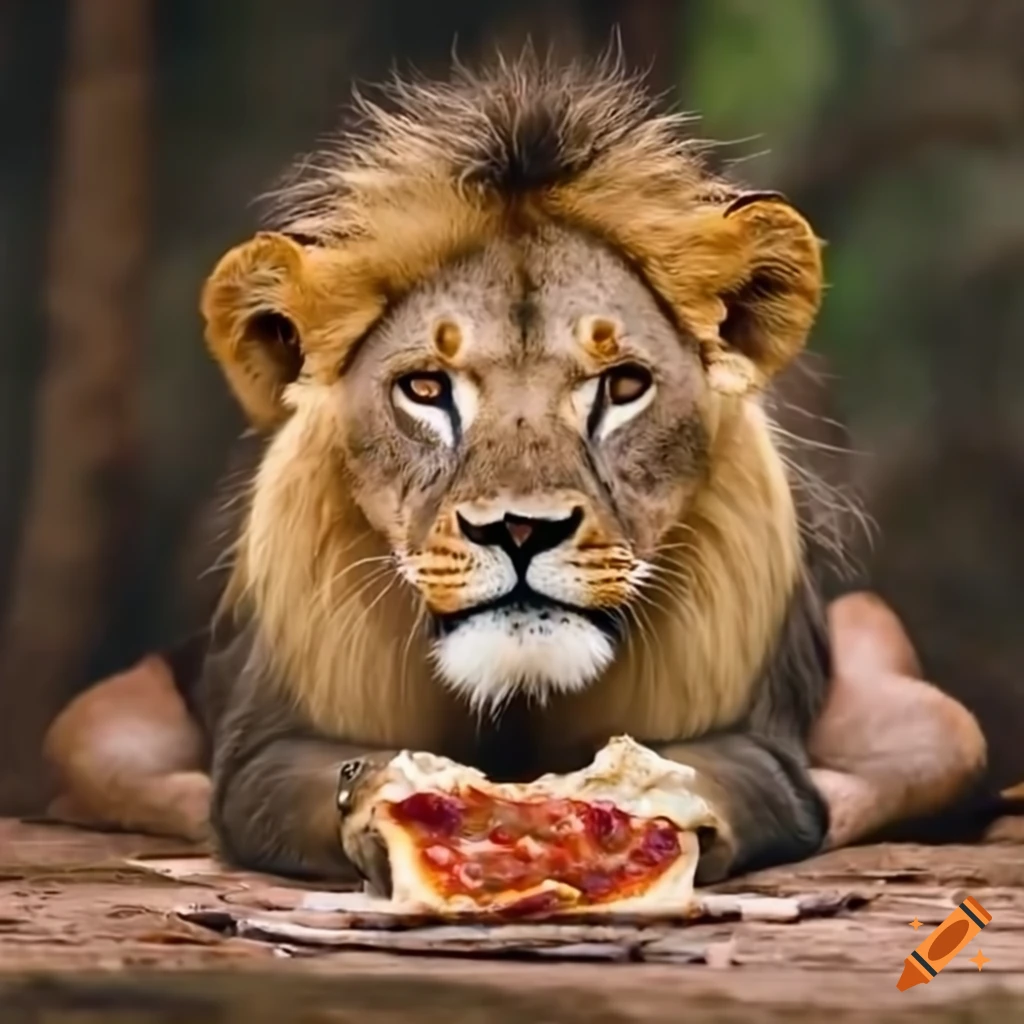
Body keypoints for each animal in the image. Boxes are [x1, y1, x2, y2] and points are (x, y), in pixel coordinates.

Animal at [42, 53, 988, 884]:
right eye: (426, 387)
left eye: (623, 385)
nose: (522, 531)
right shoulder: (267, 740)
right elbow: (271, 787)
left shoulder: (757, 733)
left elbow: (747, 782)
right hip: (95, 721)